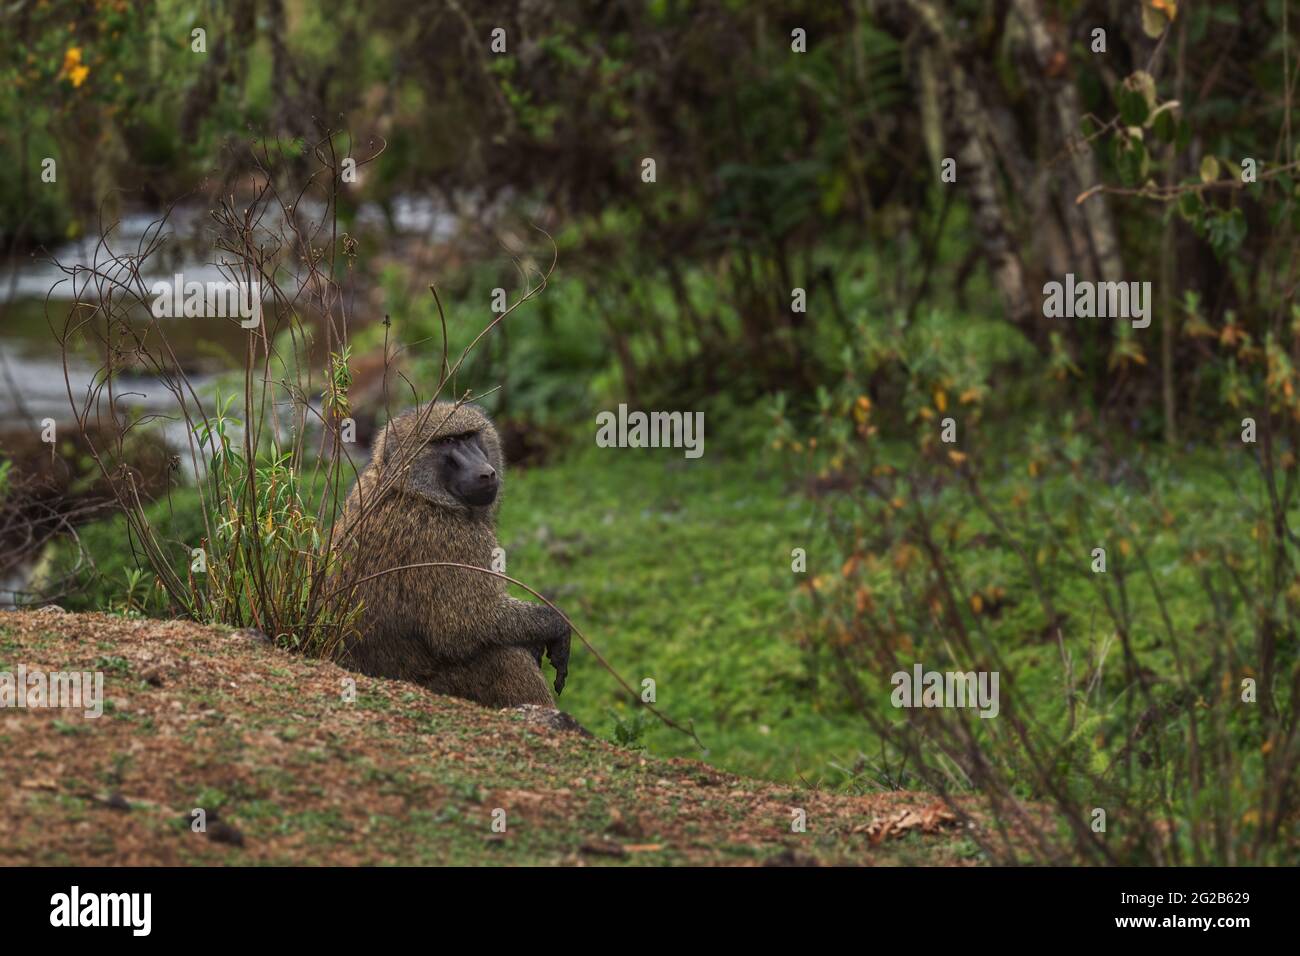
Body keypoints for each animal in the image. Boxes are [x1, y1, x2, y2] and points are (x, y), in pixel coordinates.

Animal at [332, 401, 570, 708]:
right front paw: (557, 625)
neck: (410, 488)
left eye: (468, 437)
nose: (485, 473)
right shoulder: (448, 538)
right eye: (446, 442)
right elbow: (466, 625)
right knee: (506, 658)